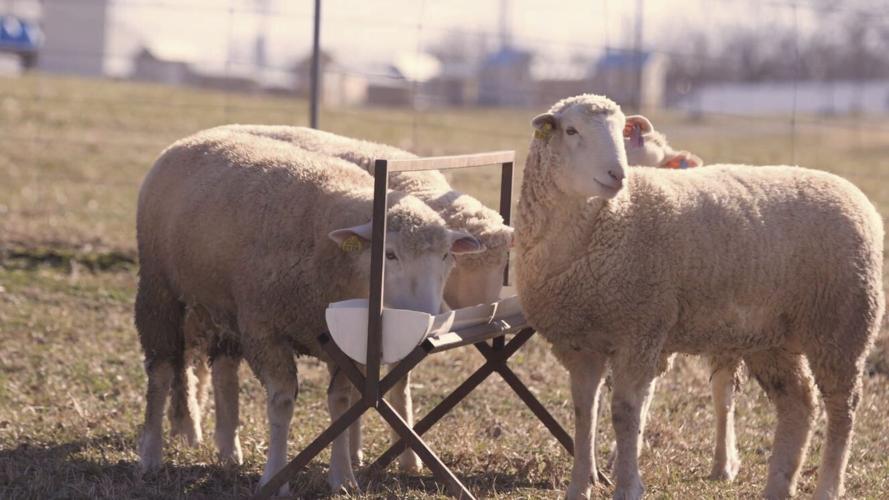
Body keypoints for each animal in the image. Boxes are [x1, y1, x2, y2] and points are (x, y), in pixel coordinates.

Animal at [135, 127, 483, 495]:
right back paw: (151, 454)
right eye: (389, 254)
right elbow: (282, 403)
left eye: (446, 256)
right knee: (161, 370)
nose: (431, 318)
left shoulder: (344, 341)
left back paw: (229, 451)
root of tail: (199, 135)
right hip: (159, 290)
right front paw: (275, 477)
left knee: (225, 372)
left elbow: (341, 403)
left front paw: (342, 477)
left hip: (225, 304)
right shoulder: (264, 328)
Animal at [515, 94, 884, 500]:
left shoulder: (639, 332)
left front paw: (627, 485)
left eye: (620, 129)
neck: (604, 223)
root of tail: (854, 194)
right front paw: (579, 487)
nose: (617, 175)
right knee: (798, 402)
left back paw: (828, 486)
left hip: (841, 324)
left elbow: (625, 413)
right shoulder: (578, 343)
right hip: (772, 337)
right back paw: (778, 484)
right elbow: (585, 413)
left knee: (842, 408)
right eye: (571, 130)